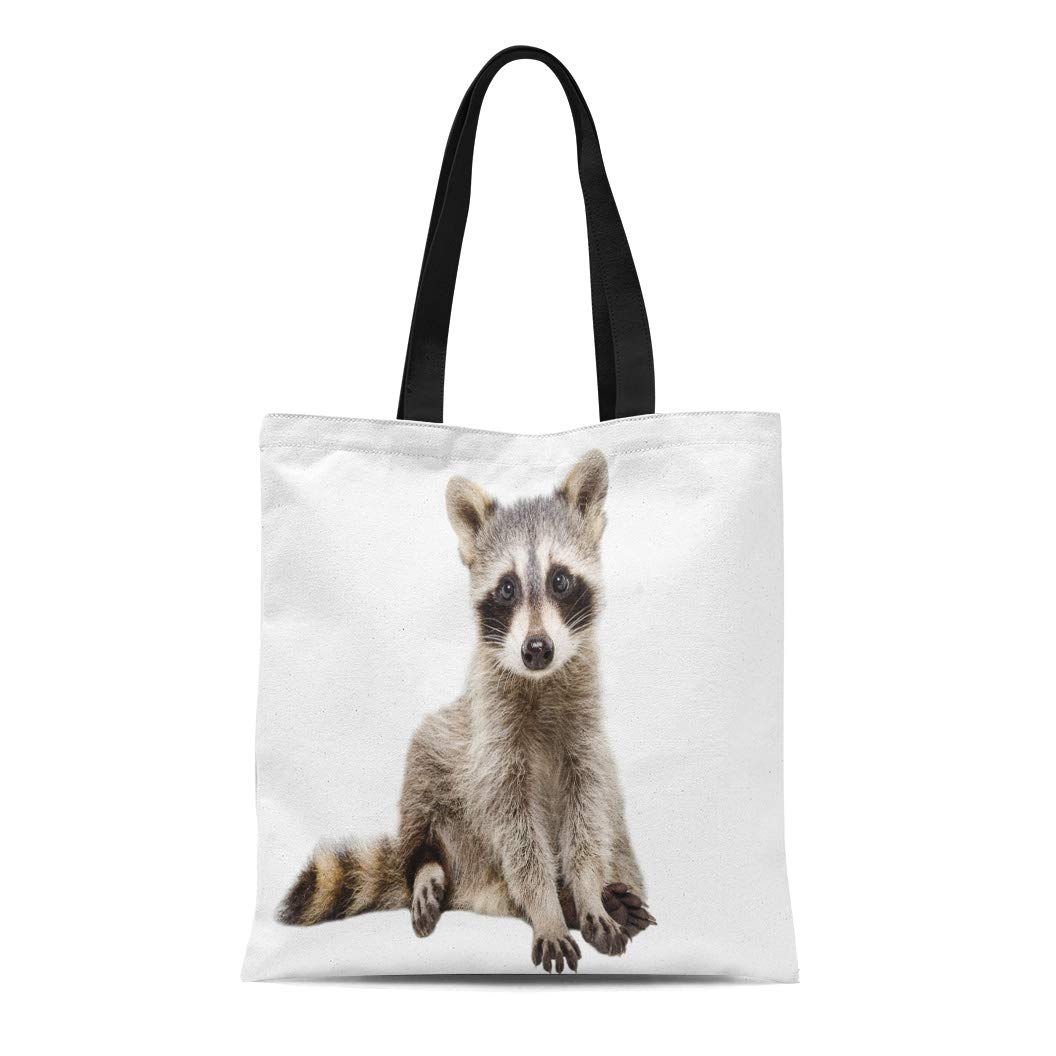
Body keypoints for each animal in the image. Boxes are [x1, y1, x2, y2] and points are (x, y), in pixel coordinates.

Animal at [278, 450, 654, 972]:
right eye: (507, 589)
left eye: (560, 579)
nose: (537, 649)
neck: (539, 682)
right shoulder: (490, 735)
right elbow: (516, 834)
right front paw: (548, 908)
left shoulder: (587, 735)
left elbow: (589, 812)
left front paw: (587, 892)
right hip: (447, 772)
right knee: (425, 775)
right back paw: (431, 870)